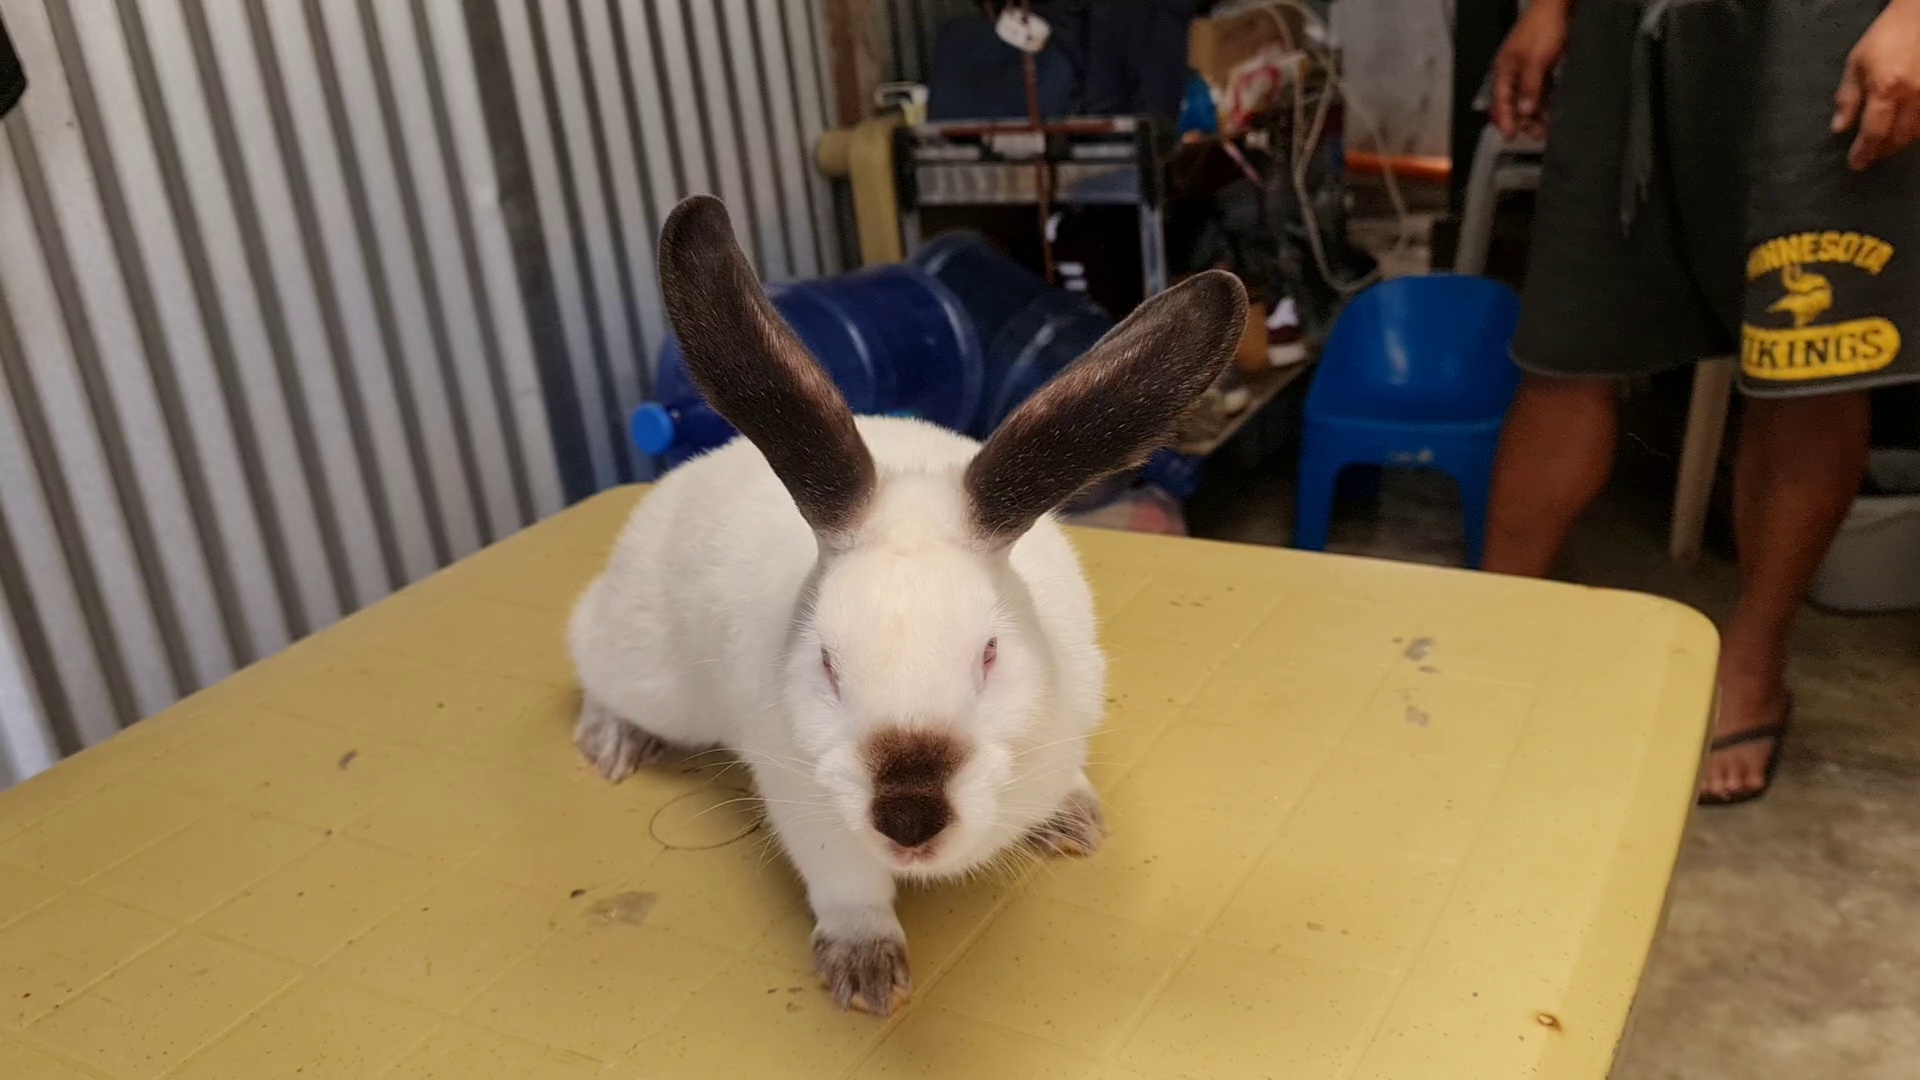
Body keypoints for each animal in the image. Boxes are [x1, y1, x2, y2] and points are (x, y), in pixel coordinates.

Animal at [568, 195, 1246, 1015]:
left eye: (990, 654)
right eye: (827, 665)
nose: (910, 818)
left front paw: (1074, 821)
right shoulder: (810, 810)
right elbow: (849, 892)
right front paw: (866, 975)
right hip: (650, 670)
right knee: (594, 663)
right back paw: (610, 743)